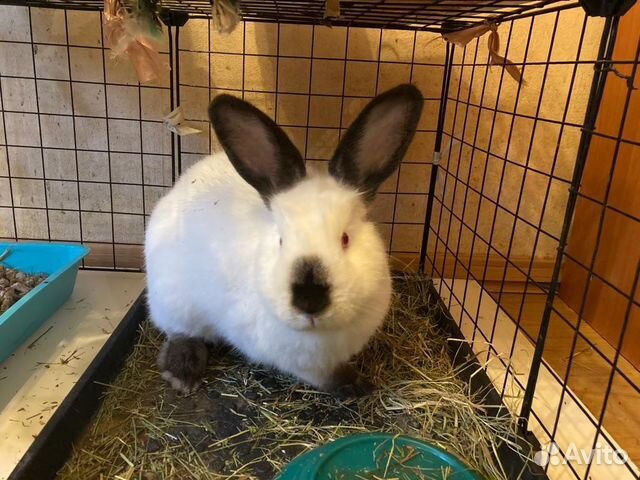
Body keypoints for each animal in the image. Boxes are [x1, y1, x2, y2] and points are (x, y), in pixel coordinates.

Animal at [145, 84, 423, 396]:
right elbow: (327, 377)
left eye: (345, 238)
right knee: (179, 333)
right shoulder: (302, 363)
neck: (319, 335)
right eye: (280, 240)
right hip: (173, 300)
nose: (310, 300)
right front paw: (356, 386)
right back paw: (182, 373)